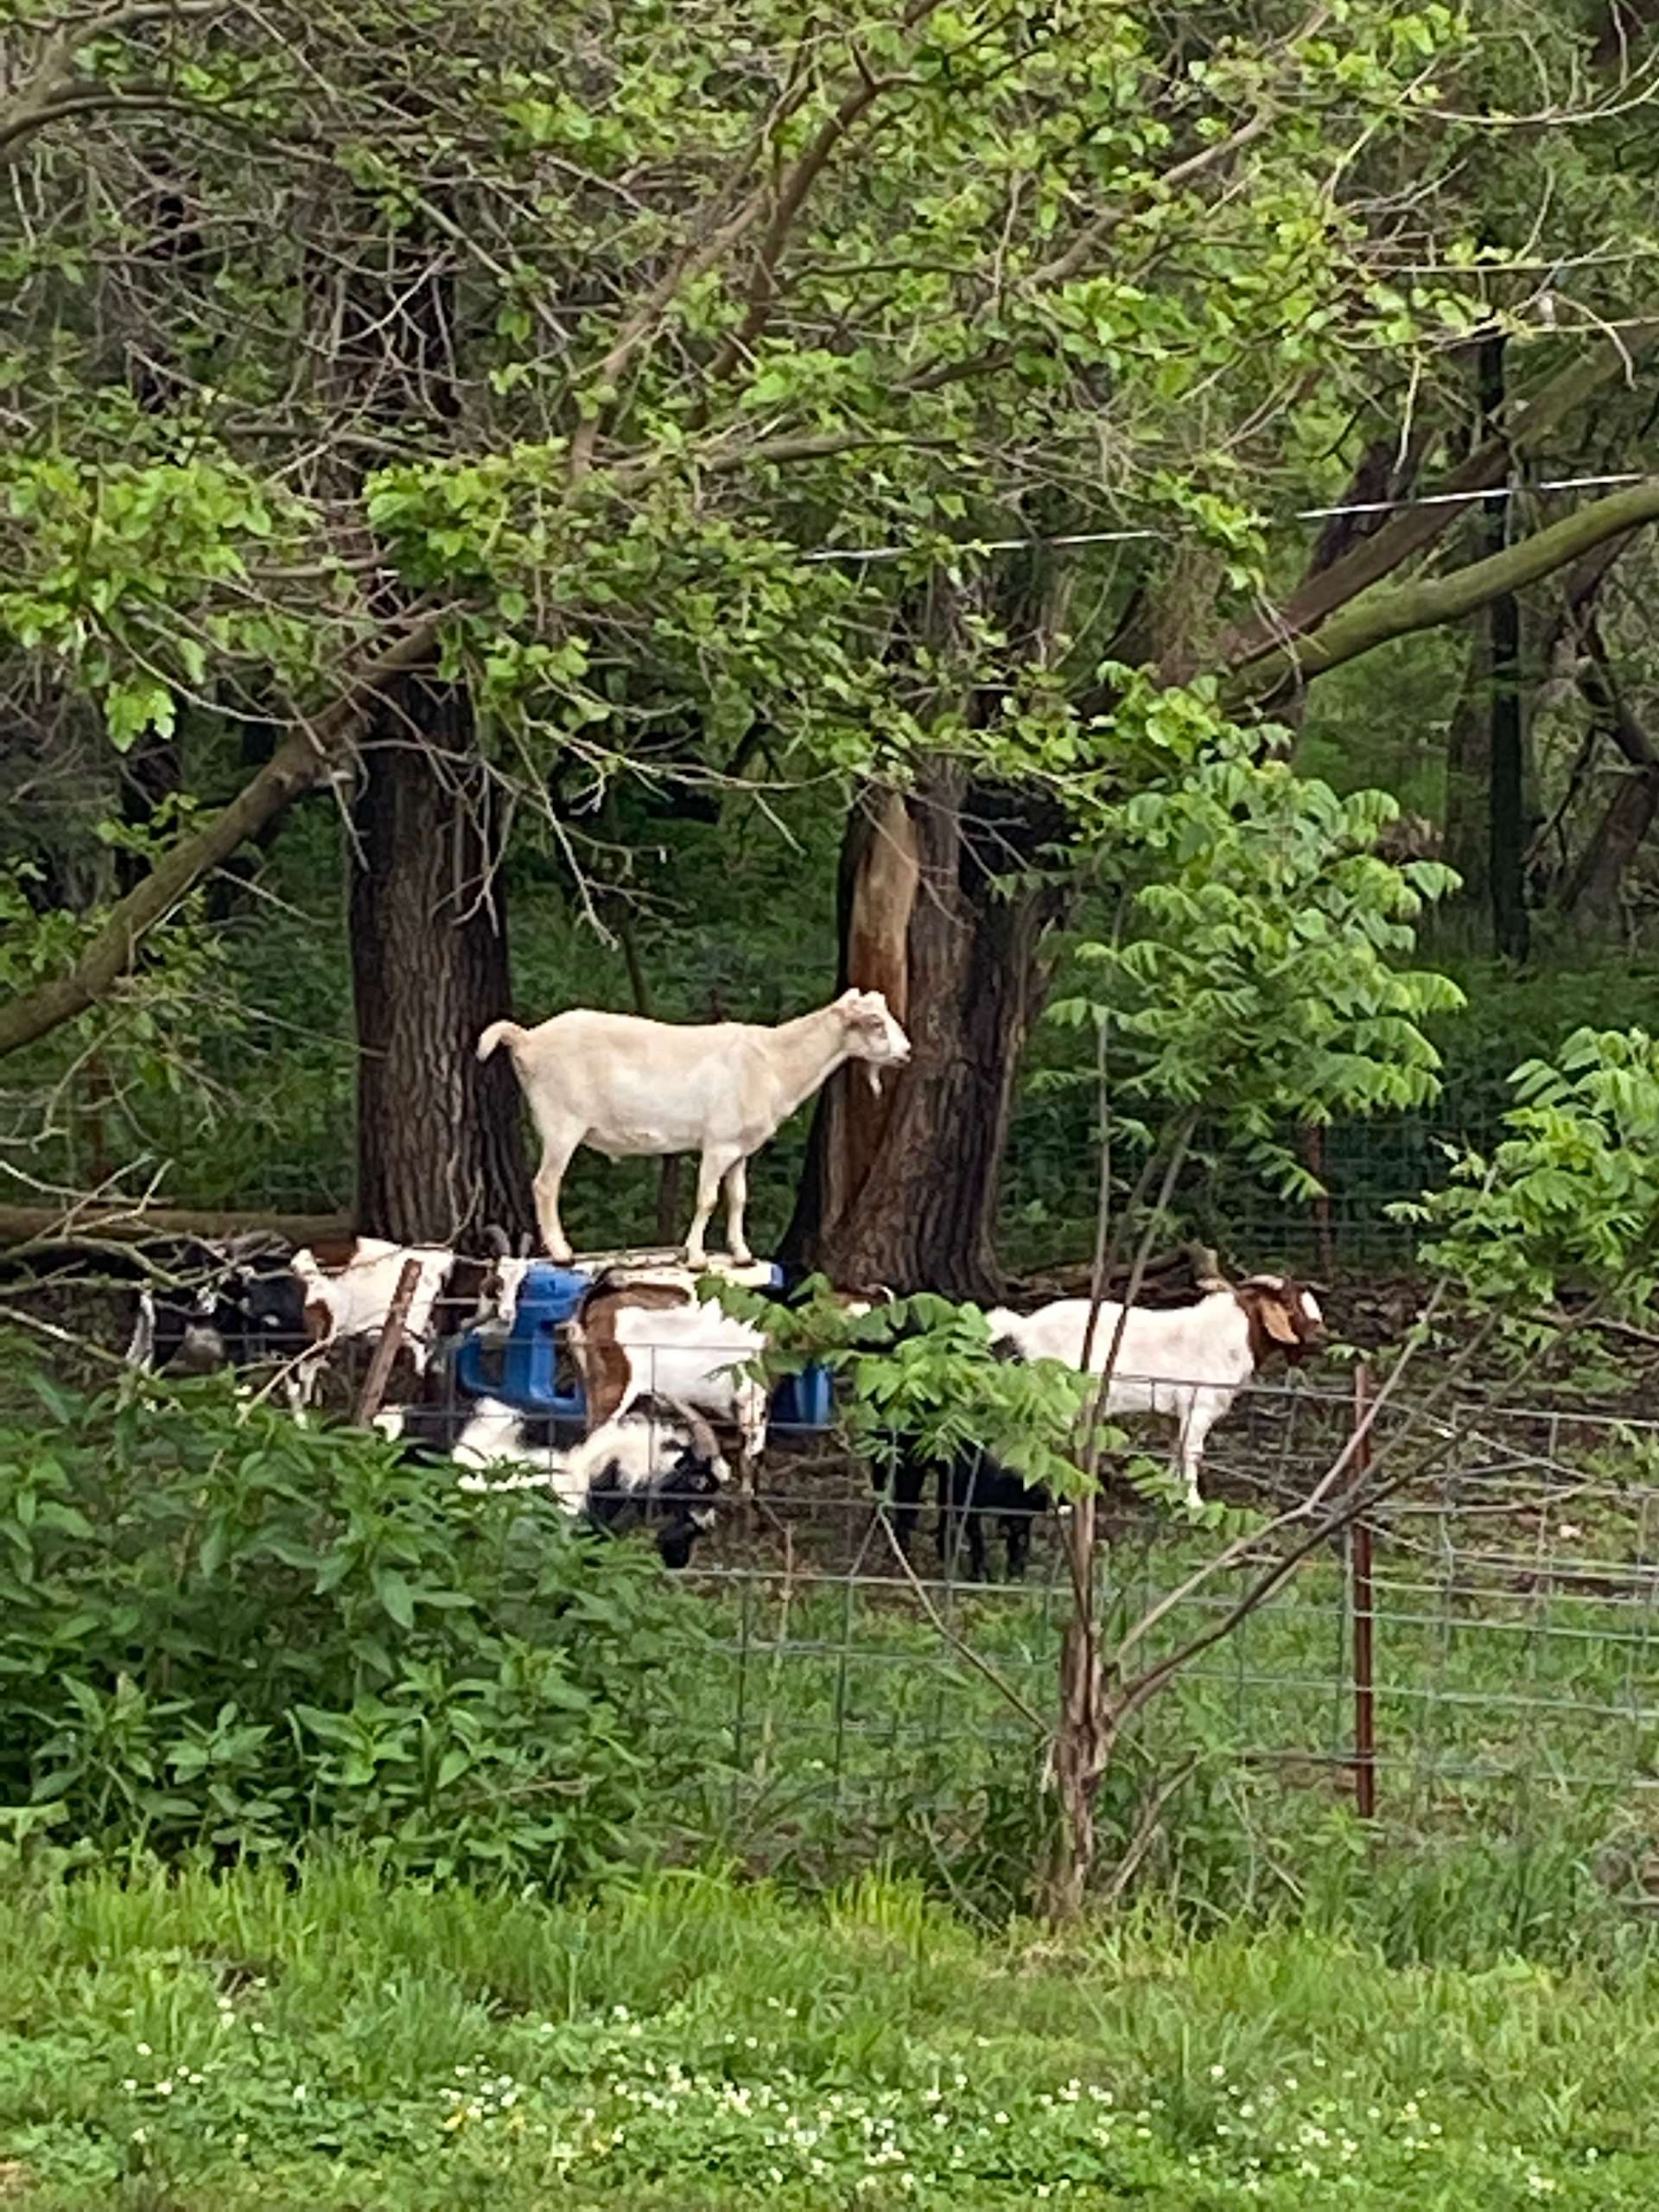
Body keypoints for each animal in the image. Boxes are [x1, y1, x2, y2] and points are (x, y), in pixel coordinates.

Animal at [477, 987, 911, 1268]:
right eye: (875, 1022)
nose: (906, 1053)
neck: (772, 1061)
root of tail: (527, 1038)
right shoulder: (718, 1144)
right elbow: (707, 1200)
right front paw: (697, 1257)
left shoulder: (739, 1151)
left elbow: (738, 1199)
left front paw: (741, 1254)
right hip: (562, 1125)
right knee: (544, 1185)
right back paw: (562, 1253)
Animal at [986, 1274, 1325, 1506]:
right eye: (1289, 1304)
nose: (1319, 1335)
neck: (1228, 1336)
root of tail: (1024, 1326)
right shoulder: (1198, 1407)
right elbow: (1192, 1452)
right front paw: (1195, 1503)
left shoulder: (1177, 1412)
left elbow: (1176, 1448)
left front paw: (1169, 1491)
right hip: (1056, 1396)